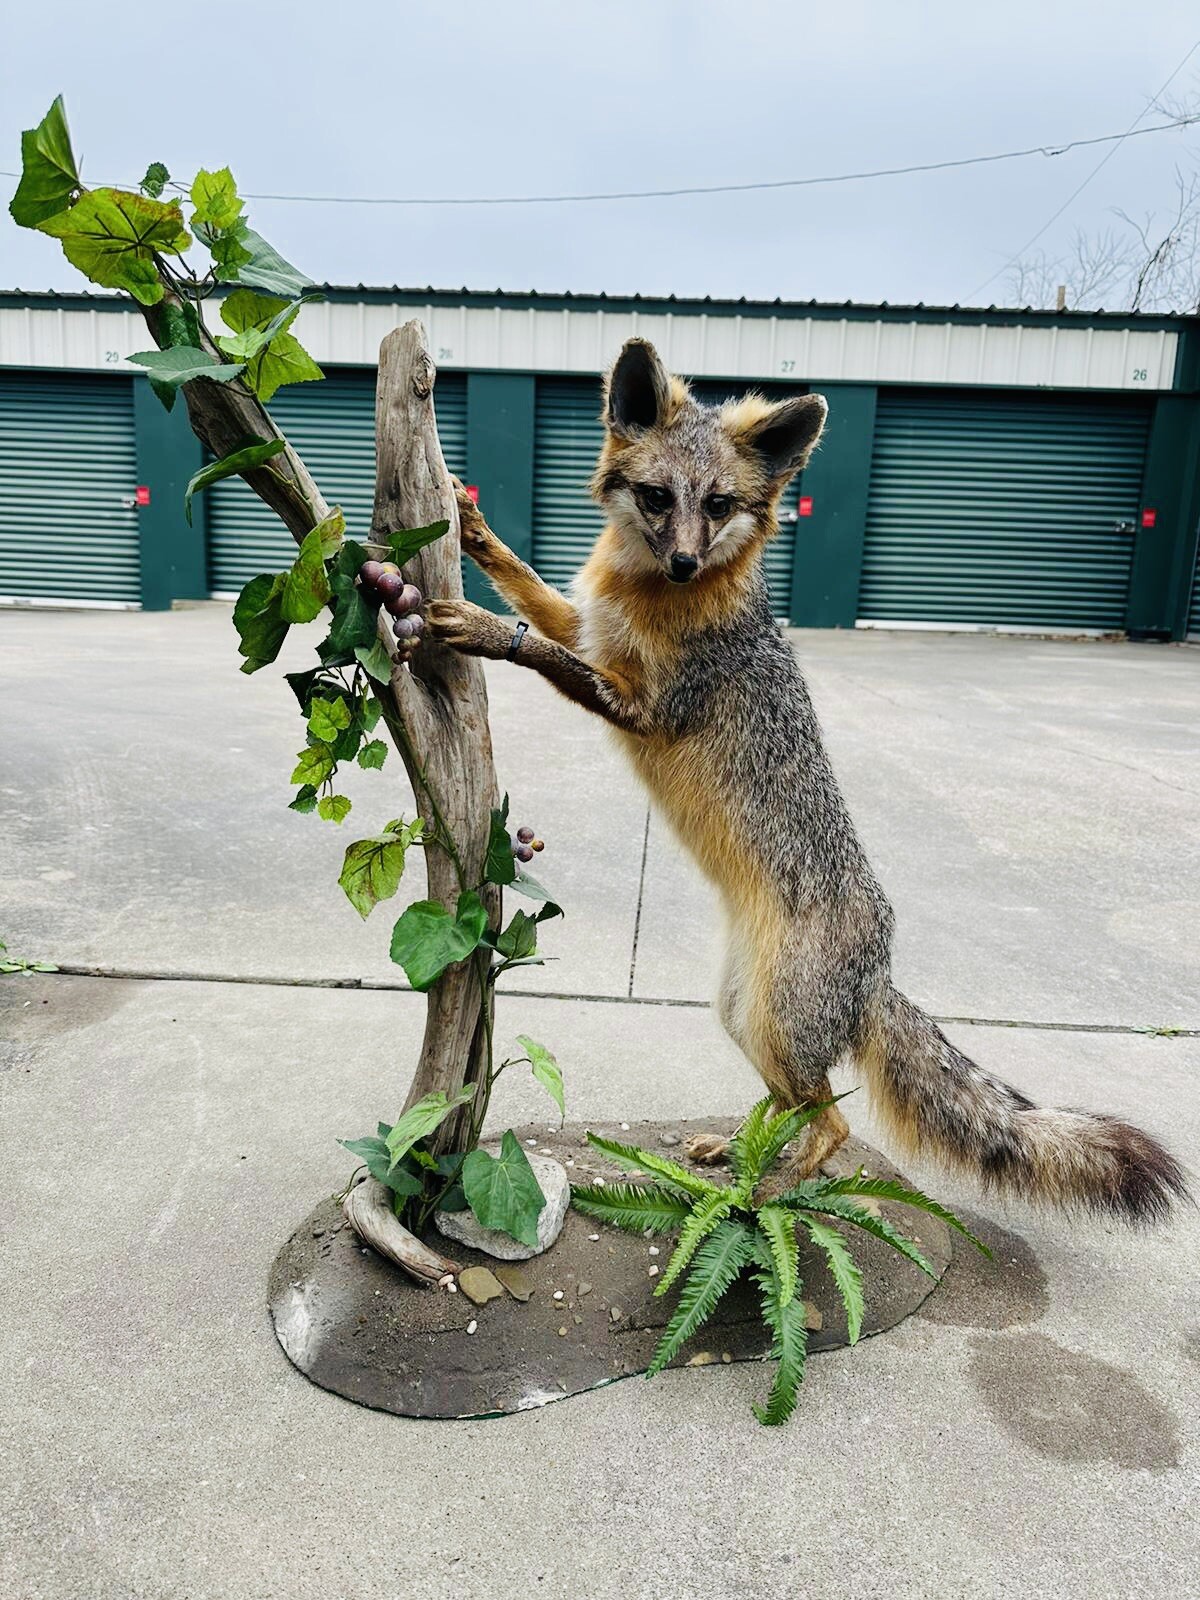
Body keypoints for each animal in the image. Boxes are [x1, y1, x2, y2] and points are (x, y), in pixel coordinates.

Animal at [426, 336, 1189, 1224]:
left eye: (720, 504)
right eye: (656, 497)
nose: (683, 561)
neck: (651, 593)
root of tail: (880, 968)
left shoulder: (643, 704)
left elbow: (542, 651)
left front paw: (484, 629)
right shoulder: (591, 630)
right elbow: (531, 591)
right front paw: (475, 530)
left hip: (775, 1029)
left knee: (834, 1125)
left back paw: (774, 1194)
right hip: (742, 1019)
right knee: (796, 1107)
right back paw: (734, 1150)